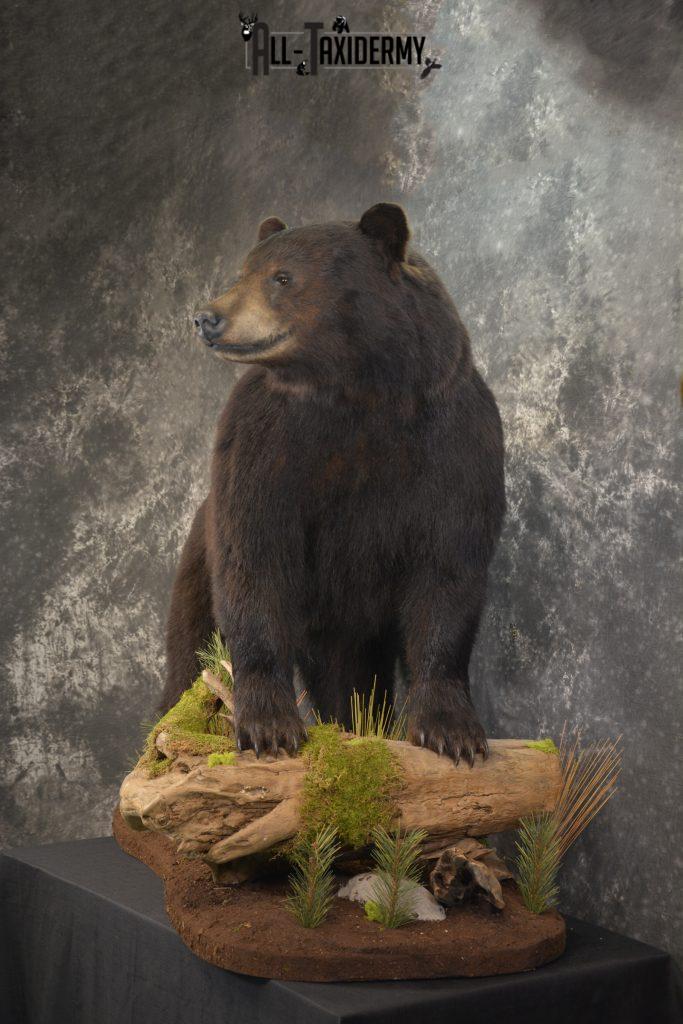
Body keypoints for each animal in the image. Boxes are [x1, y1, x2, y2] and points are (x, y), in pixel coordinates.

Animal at [161, 203, 505, 765]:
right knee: (190, 652)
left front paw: (453, 731)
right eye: (243, 271)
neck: (358, 392)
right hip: (199, 569)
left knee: (354, 677)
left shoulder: (455, 441)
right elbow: (253, 559)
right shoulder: (266, 443)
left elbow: (449, 570)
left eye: (282, 277)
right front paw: (269, 724)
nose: (207, 317)